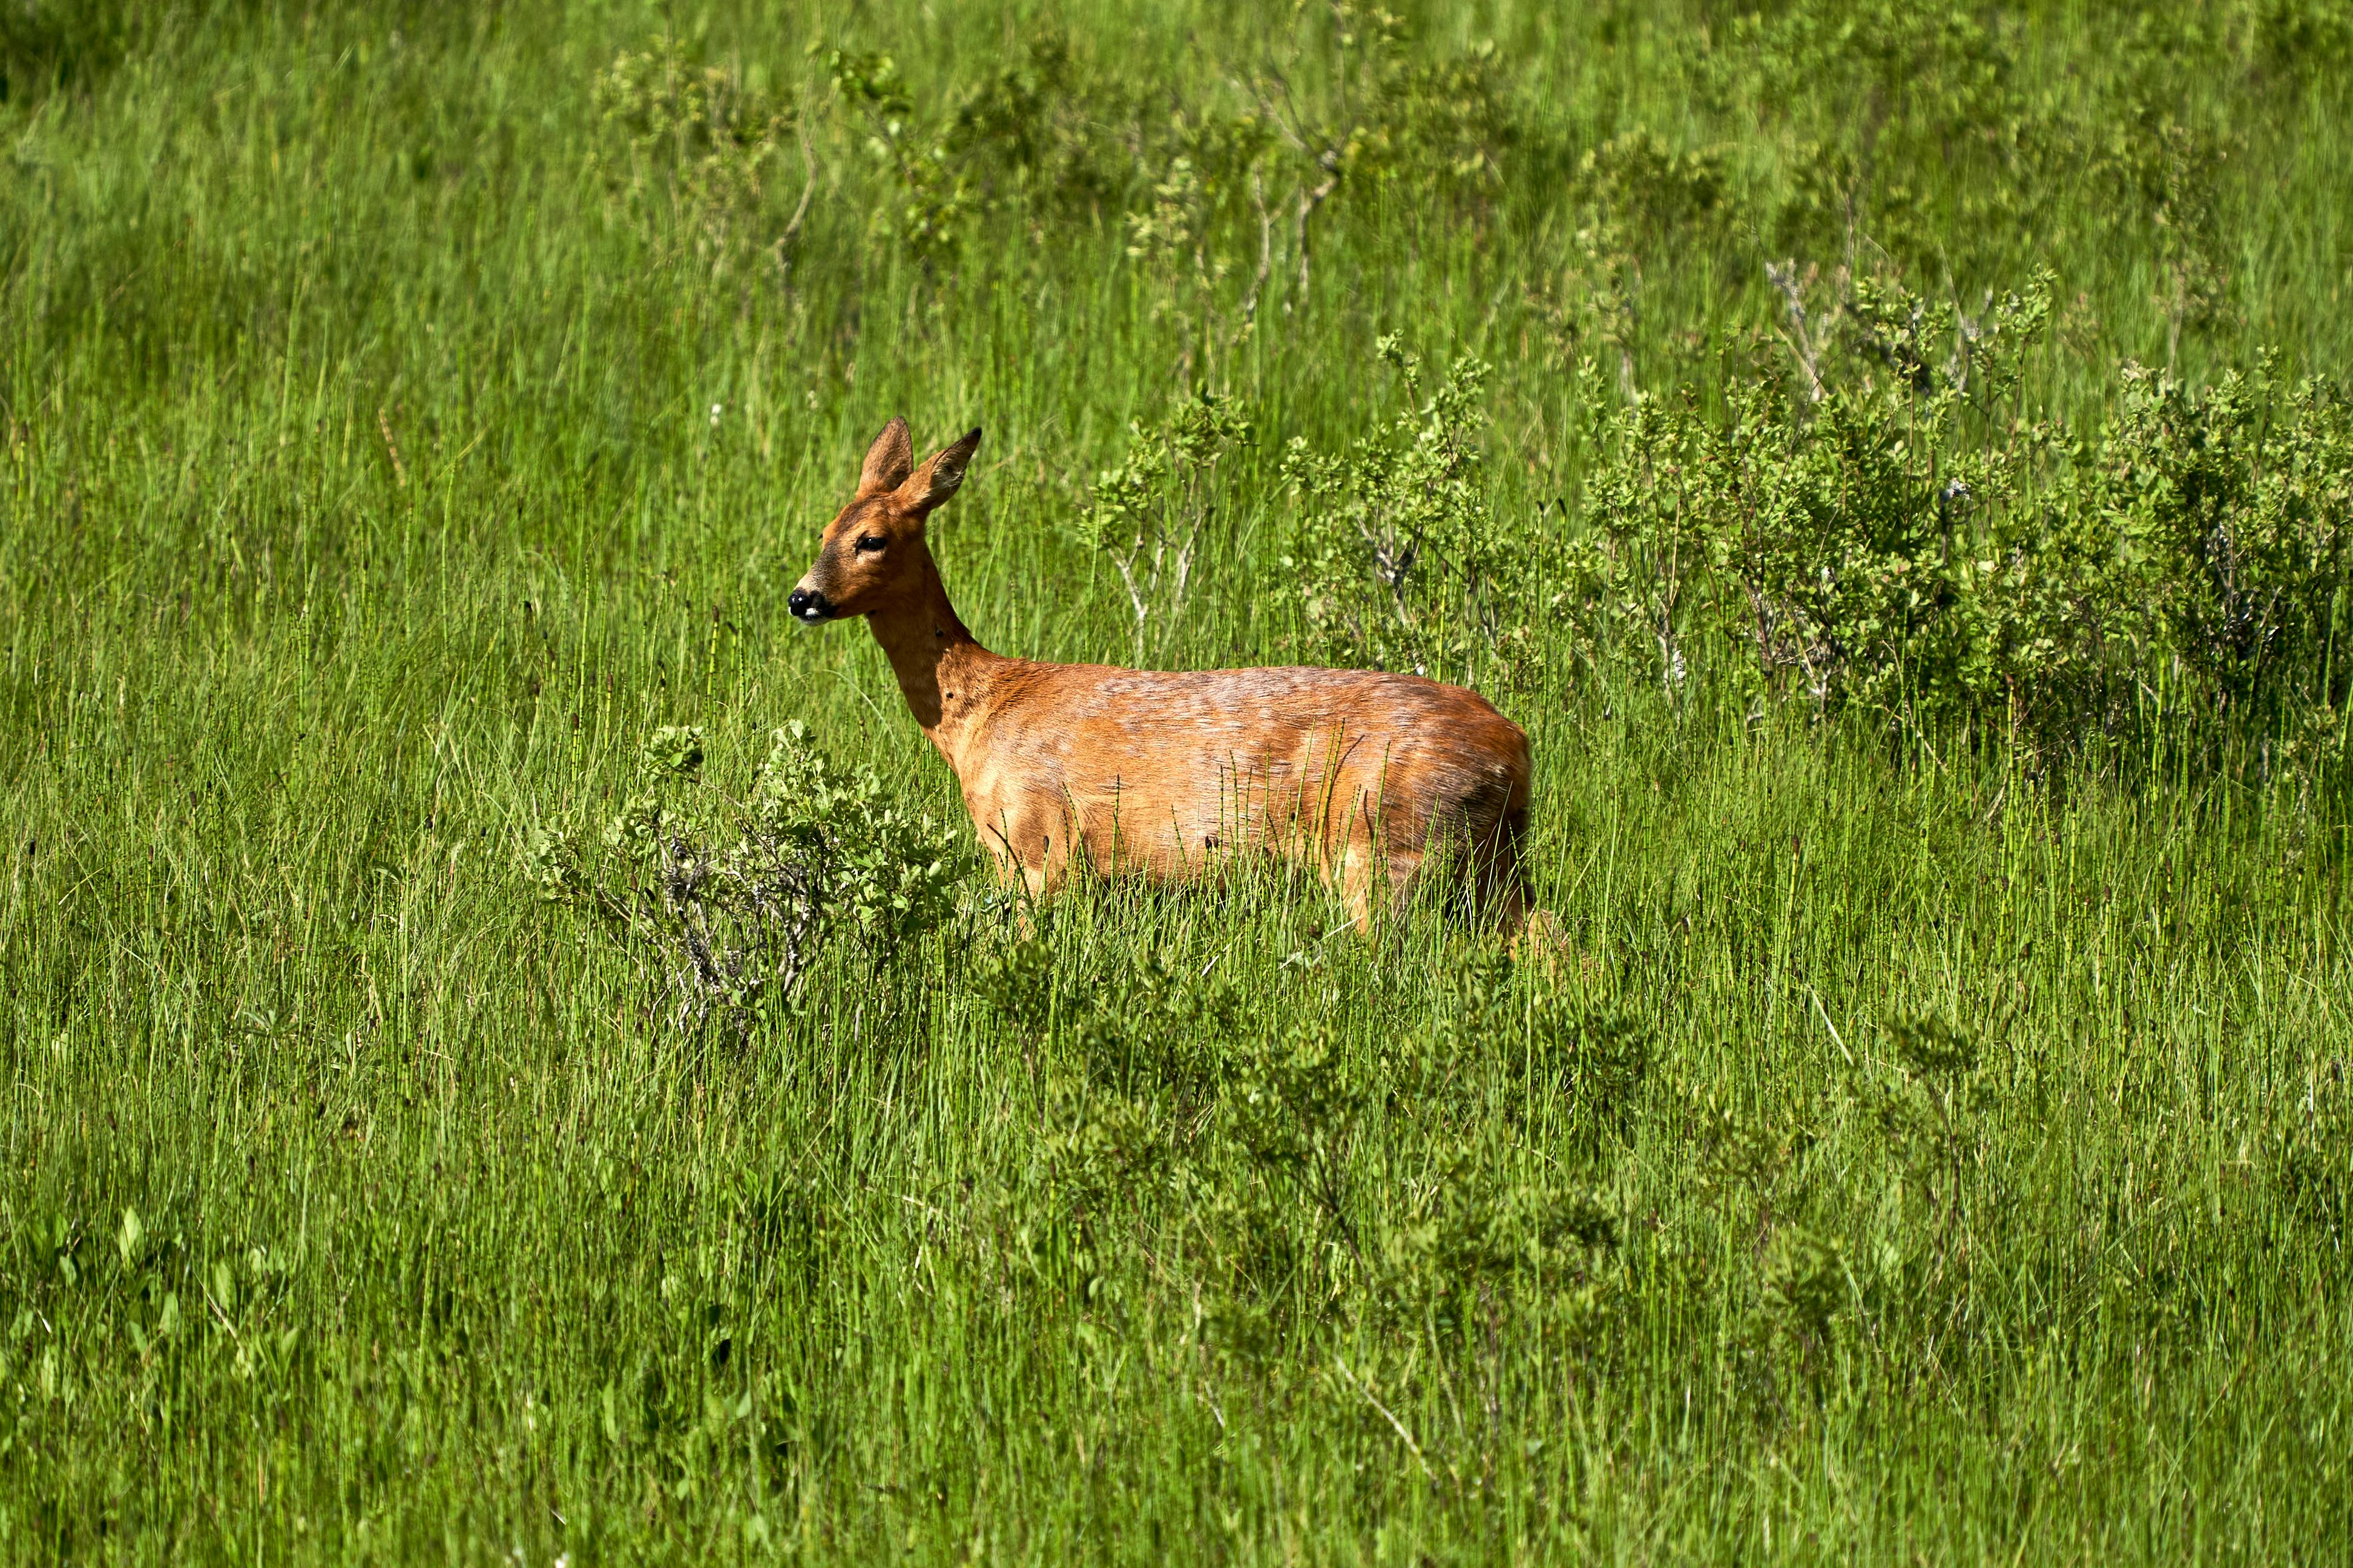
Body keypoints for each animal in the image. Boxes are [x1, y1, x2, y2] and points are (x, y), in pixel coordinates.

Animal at [787, 417, 1537, 938]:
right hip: (1492, 859)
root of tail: (1516, 748)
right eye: (822, 532)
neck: (978, 714)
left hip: (1384, 845)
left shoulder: (1036, 846)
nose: (802, 598)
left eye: (871, 539)